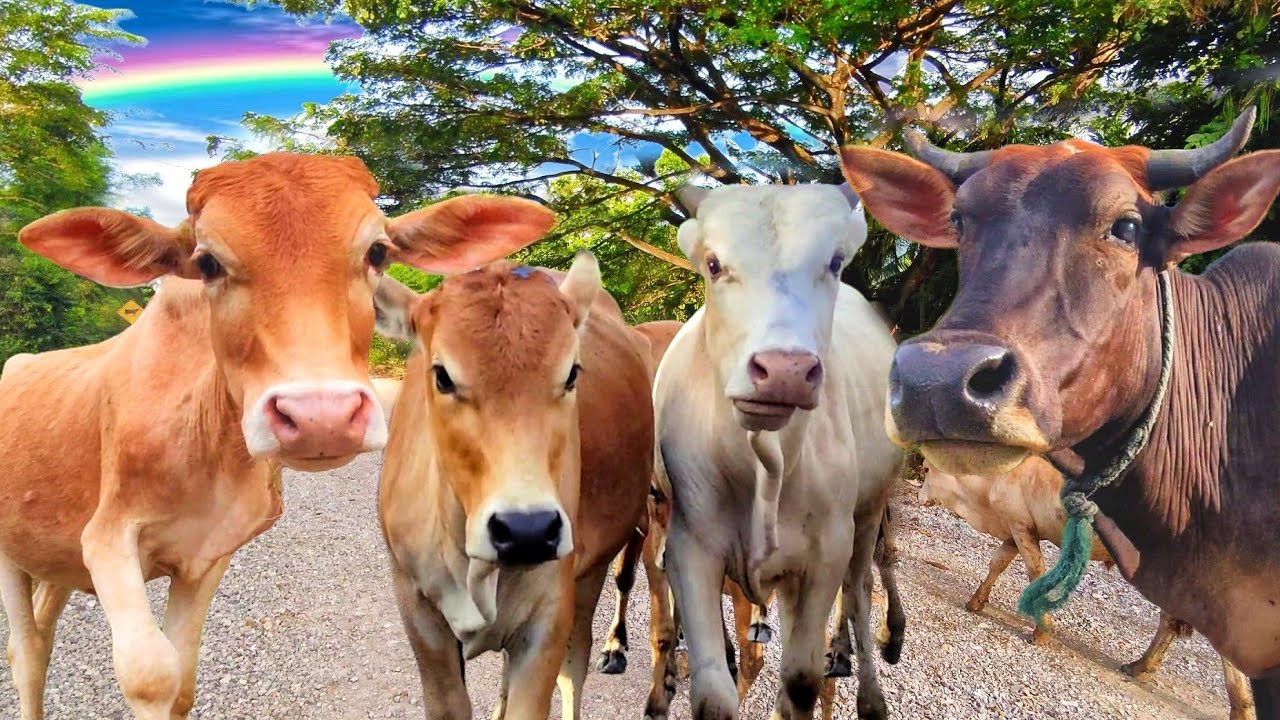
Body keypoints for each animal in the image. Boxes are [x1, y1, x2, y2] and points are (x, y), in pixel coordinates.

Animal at [0, 153, 555, 720]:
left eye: (377, 251)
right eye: (207, 263)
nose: (320, 416)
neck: (204, 442)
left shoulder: (205, 557)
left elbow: (182, 682)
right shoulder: (107, 538)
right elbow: (151, 677)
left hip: (55, 560)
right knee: (27, 652)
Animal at [371, 253, 654, 720]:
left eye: (572, 373)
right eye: (442, 376)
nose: (527, 531)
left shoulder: (548, 614)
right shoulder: (418, 609)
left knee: (576, 664)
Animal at [653, 183, 903, 720]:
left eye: (835, 262)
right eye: (713, 264)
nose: (784, 370)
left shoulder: (826, 553)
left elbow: (802, 682)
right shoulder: (690, 546)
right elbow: (714, 695)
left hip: (870, 509)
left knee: (860, 592)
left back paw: (871, 693)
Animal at [919, 457, 1253, 718]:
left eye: (925, 469)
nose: (921, 495)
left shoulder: (1021, 526)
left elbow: (1034, 571)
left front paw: (1041, 630)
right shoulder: (1016, 530)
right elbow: (997, 563)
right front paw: (976, 601)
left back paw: (1241, 706)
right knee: (1170, 621)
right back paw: (1139, 666)